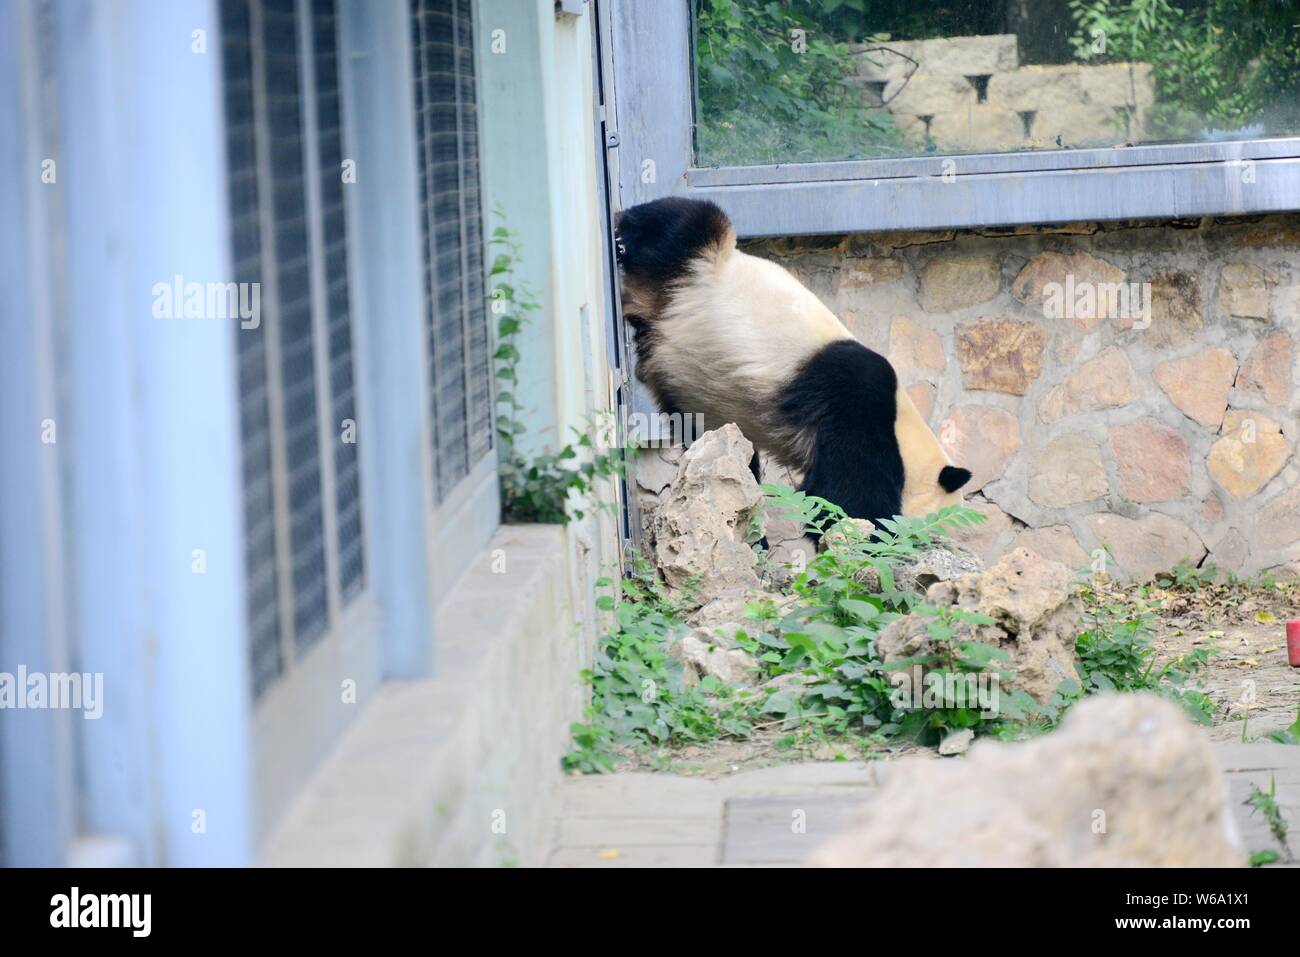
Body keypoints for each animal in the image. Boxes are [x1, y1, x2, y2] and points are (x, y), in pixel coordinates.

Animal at [615, 196, 971, 531]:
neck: (905, 433)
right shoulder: (857, 408)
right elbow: (847, 493)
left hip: (706, 405)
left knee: (729, 456)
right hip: (697, 261)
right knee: (685, 221)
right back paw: (621, 234)